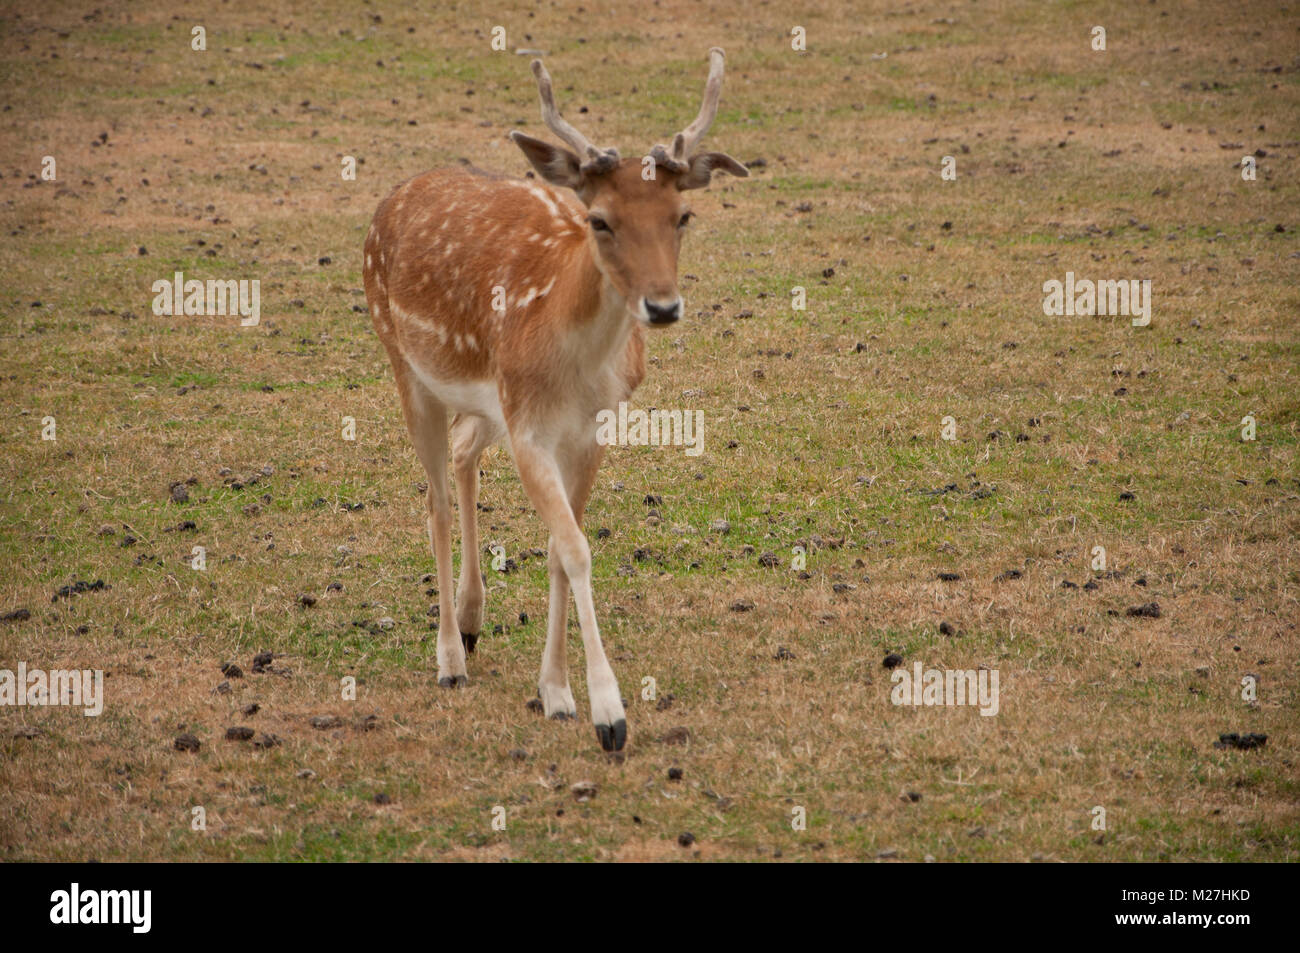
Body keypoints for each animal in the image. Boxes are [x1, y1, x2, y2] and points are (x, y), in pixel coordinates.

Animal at [362, 49, 748, 751]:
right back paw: (450, 658)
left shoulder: (592, 430)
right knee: (433, 497)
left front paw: (556, 692)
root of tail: (394, 195)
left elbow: (557, 552)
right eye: (600, 219)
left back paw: (472, 622)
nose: (662, 307)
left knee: (464, 450)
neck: (574, 366)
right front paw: (607, 714)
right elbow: (576, 550)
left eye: (682, 215)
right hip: (405, 362)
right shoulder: (531, 431)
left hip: (490, 404)